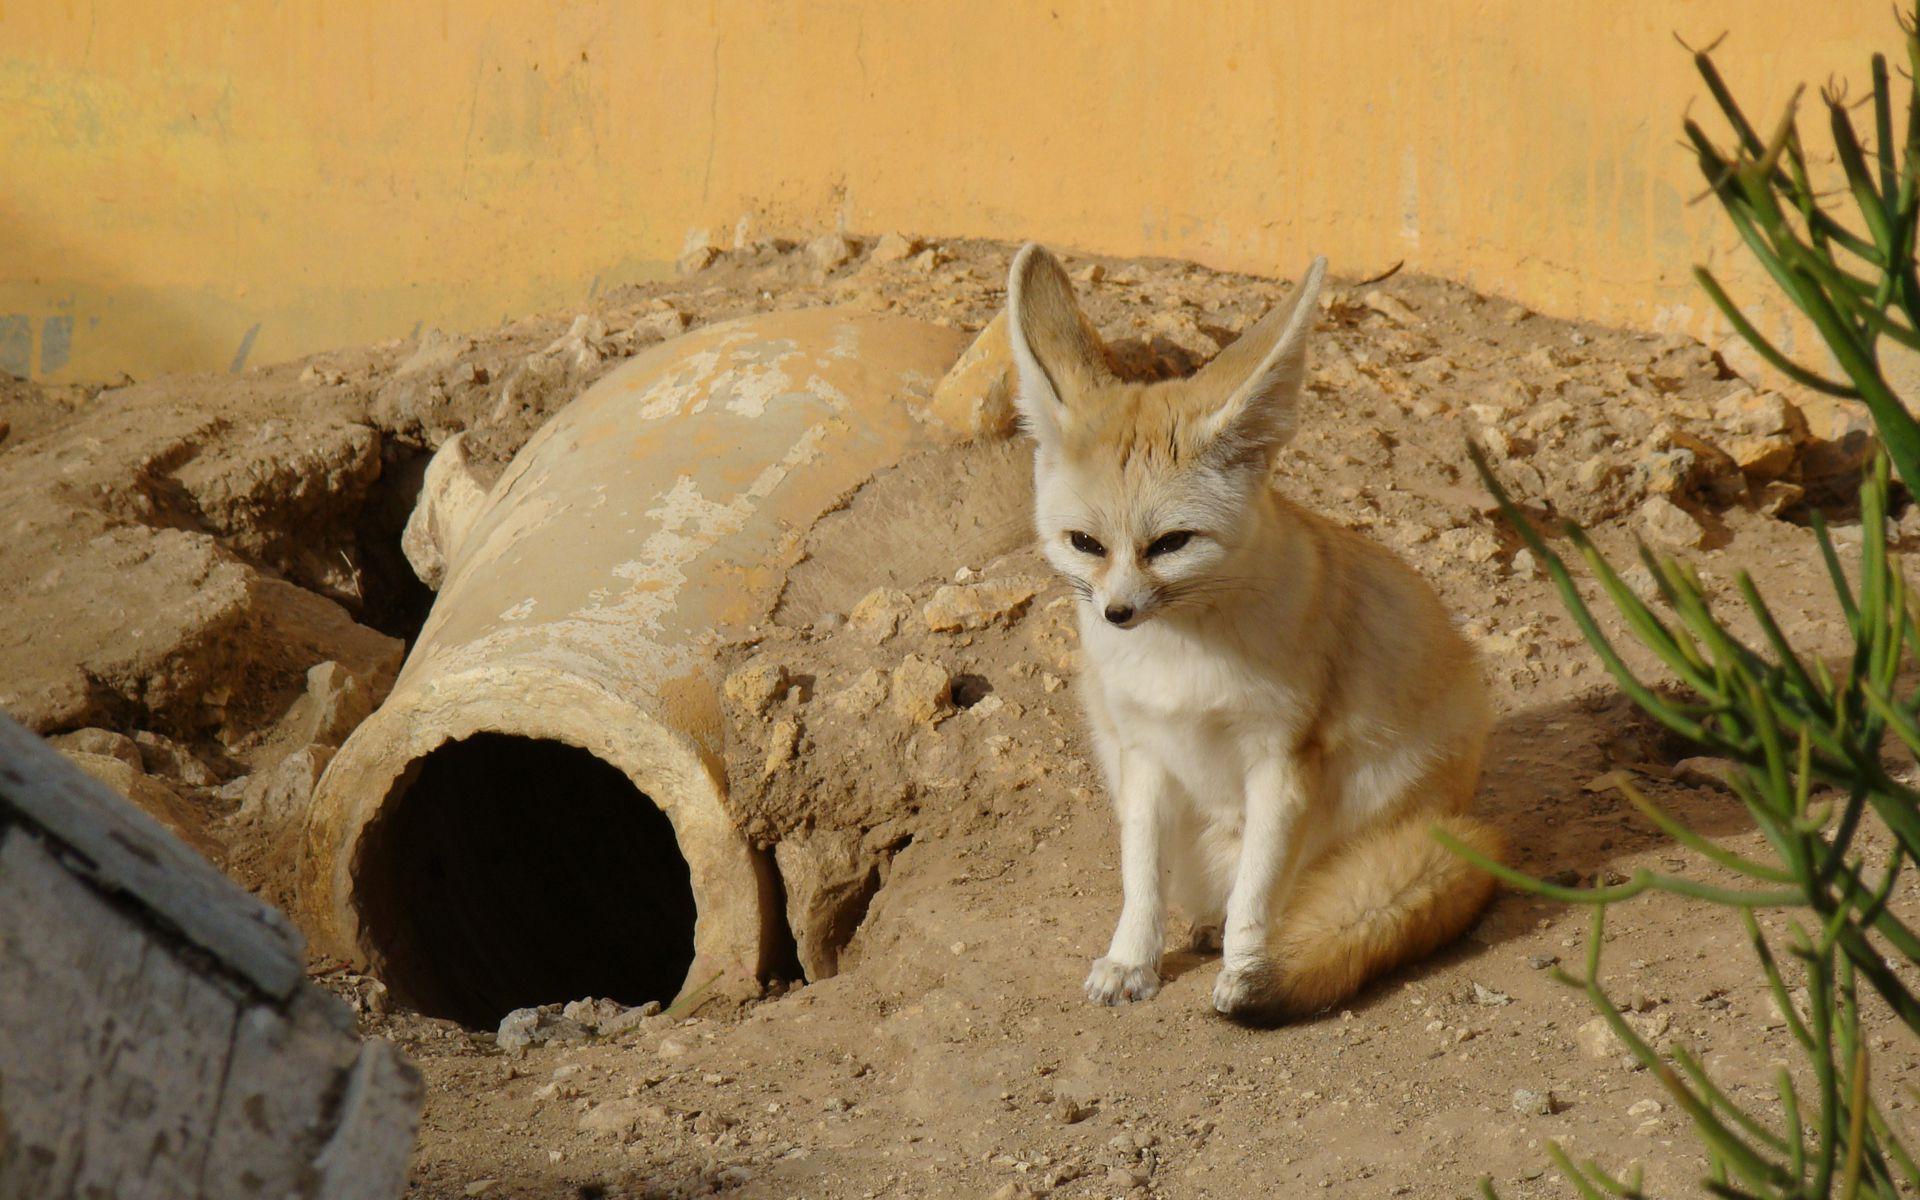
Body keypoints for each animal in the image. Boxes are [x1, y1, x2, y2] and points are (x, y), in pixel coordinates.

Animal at [1003, 243, 1503, 1024]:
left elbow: (1258, 895)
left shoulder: (1282, 761)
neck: (1180, 655)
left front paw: (1248, 969)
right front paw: (1131, 960)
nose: (1118, 613)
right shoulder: (1144, 754)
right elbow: (1140, 877)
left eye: (1171, 544)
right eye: (1085, 543)